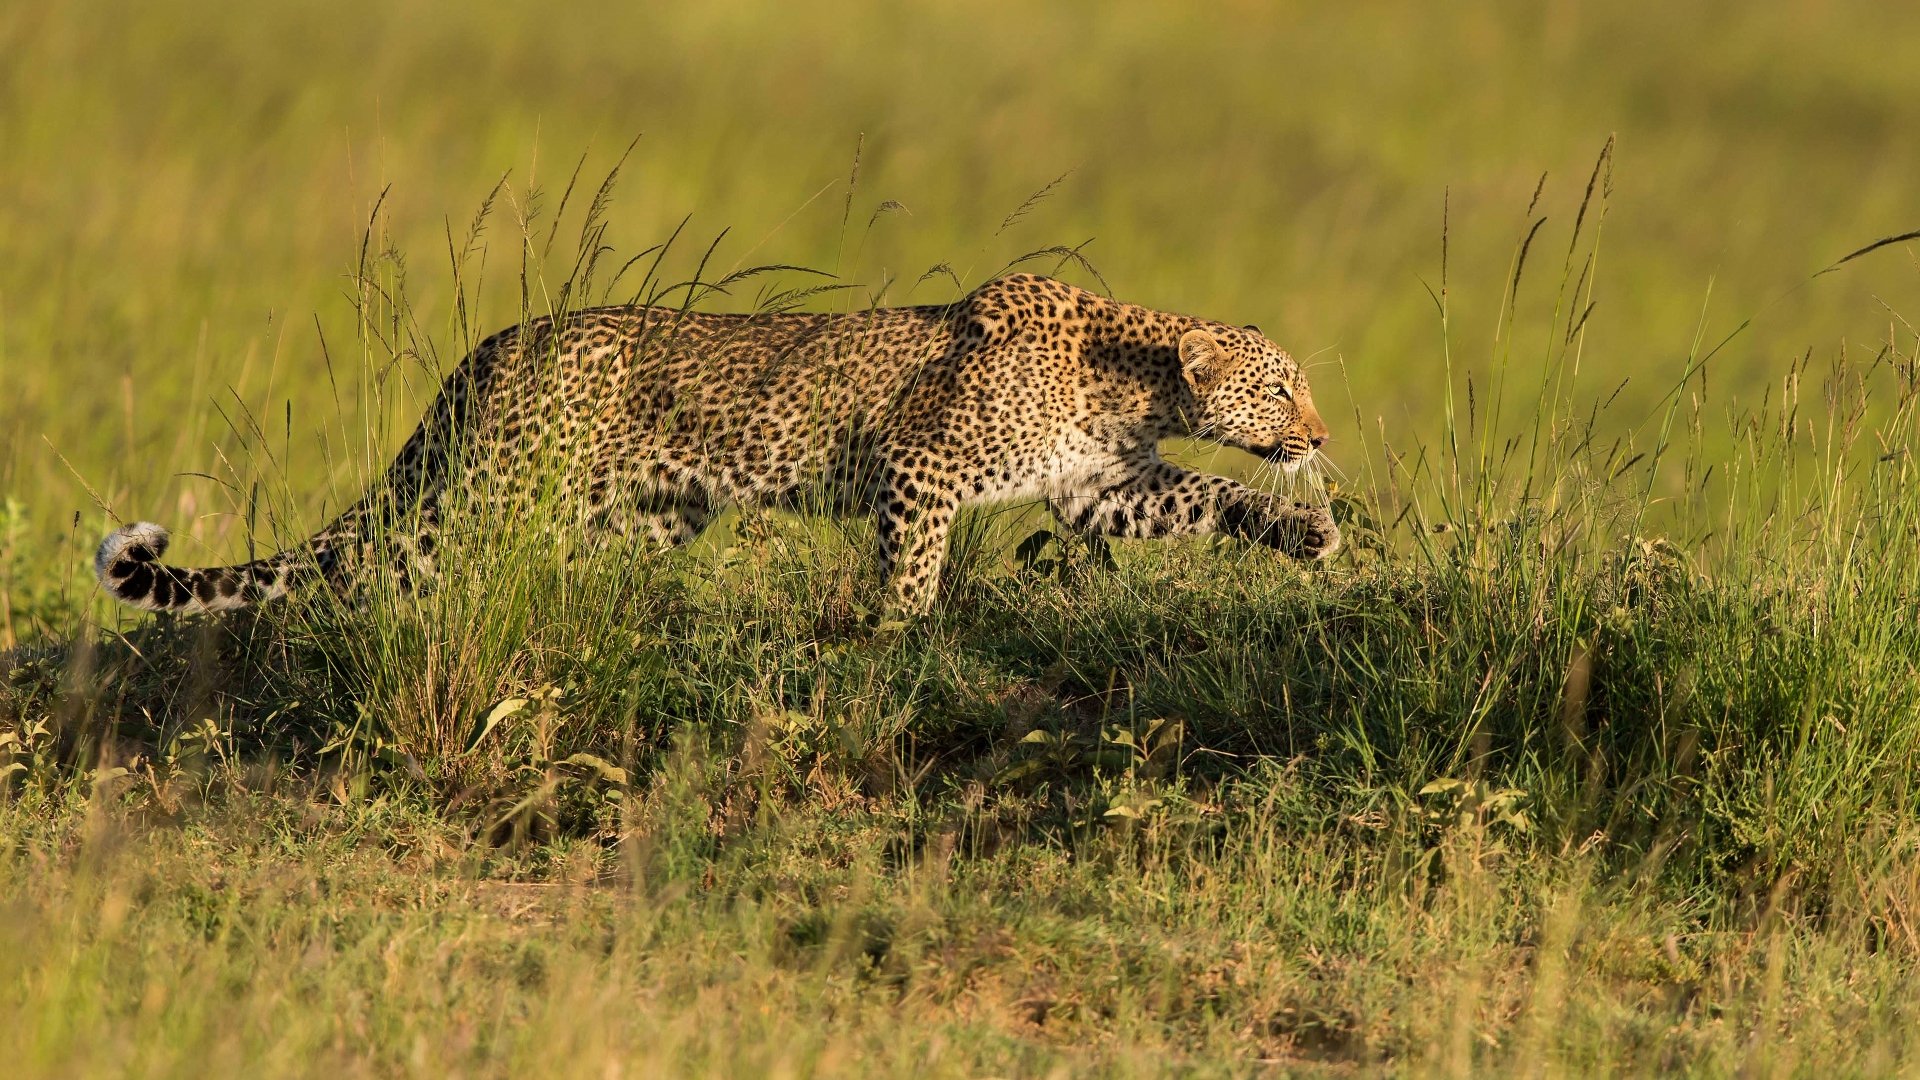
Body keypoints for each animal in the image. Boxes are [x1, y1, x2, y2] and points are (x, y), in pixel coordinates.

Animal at [94, 273, 1338, 617]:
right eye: (1283, 388)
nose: (1321, 431)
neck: (1132, 386)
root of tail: (492, 347)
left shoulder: (1095, 490)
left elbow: (1209, 501)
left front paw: (1305, 532)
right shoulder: (920, 468)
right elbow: (913, 569)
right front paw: (898, 635)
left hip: (636, 517)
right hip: (487, 497)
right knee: (390, 572)